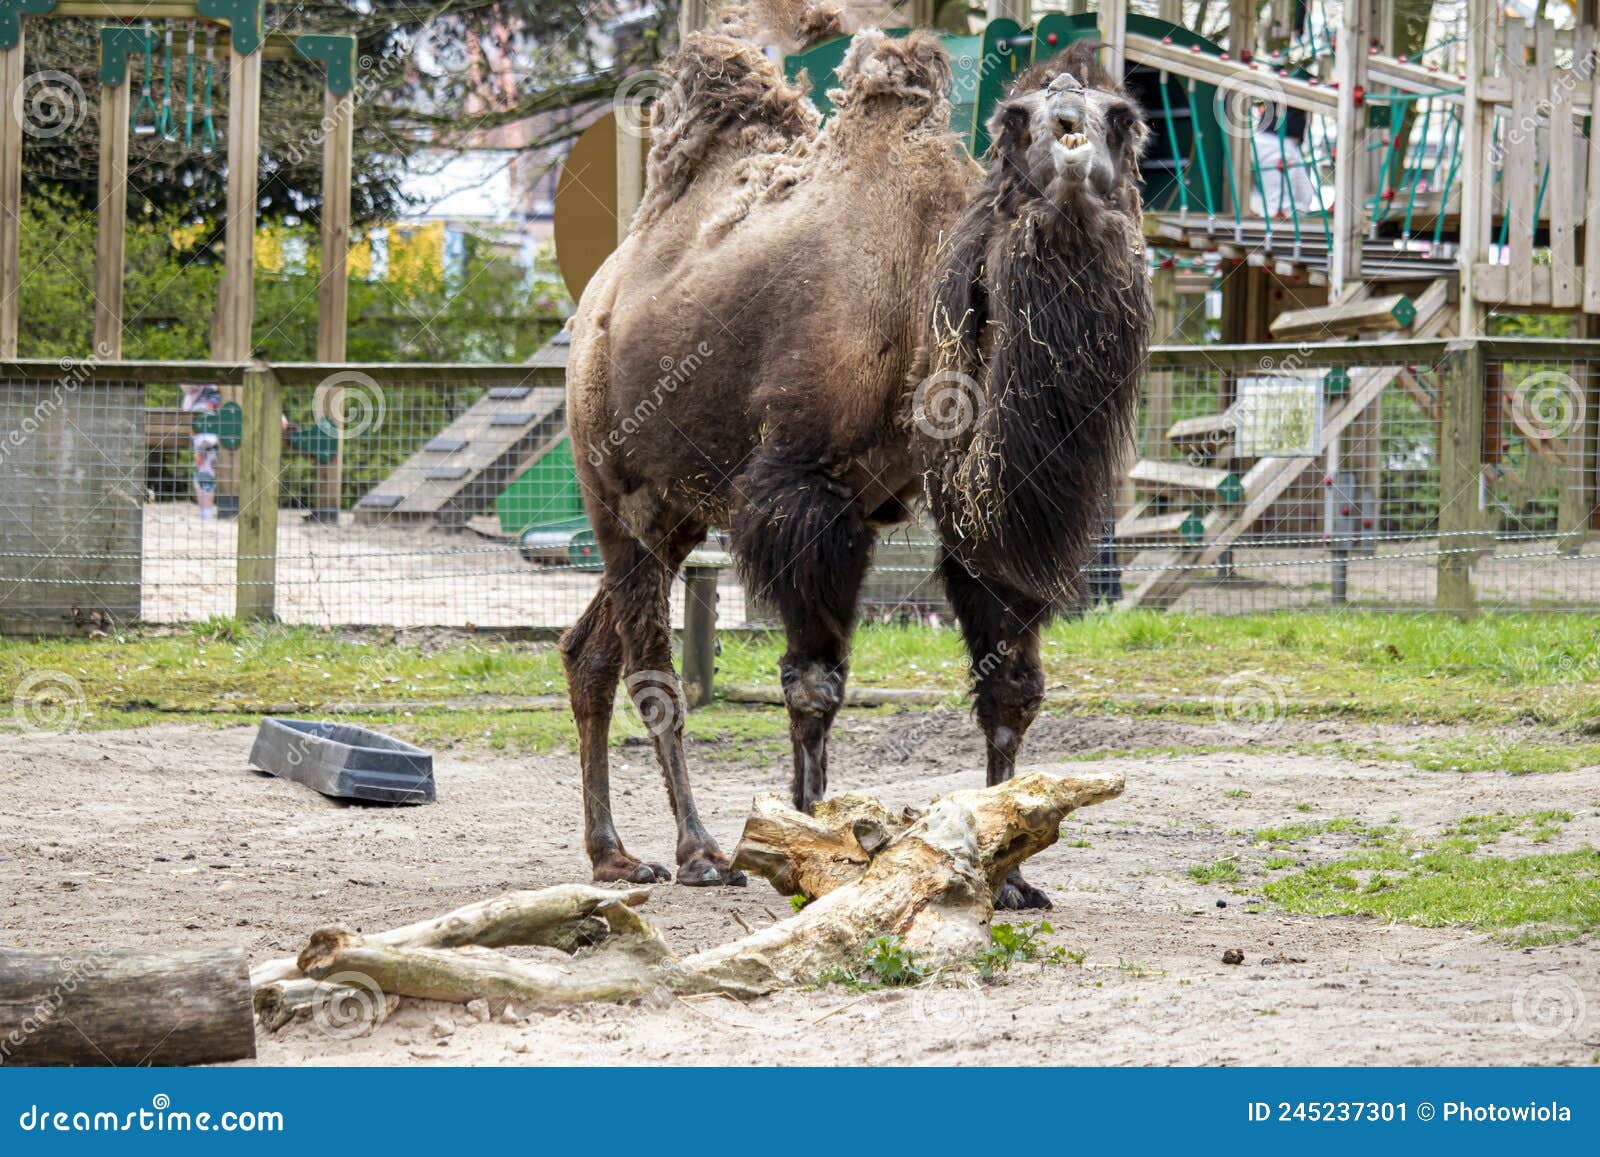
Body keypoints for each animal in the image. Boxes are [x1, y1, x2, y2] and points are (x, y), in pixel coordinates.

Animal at [561, 5, 1151, 909]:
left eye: (1122, 116)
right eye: (1013, 123)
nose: (1071, 134)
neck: (920, 293)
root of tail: (600, 298)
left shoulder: (977, 511)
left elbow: (1011, 686)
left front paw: (1010, 868)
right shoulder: (807, 489)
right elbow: (814, 684)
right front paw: (808, 846)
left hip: (678, 514)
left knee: (589, 650)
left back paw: (613, 855)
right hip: (616, 487)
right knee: (651, 673)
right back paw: (699, 851)